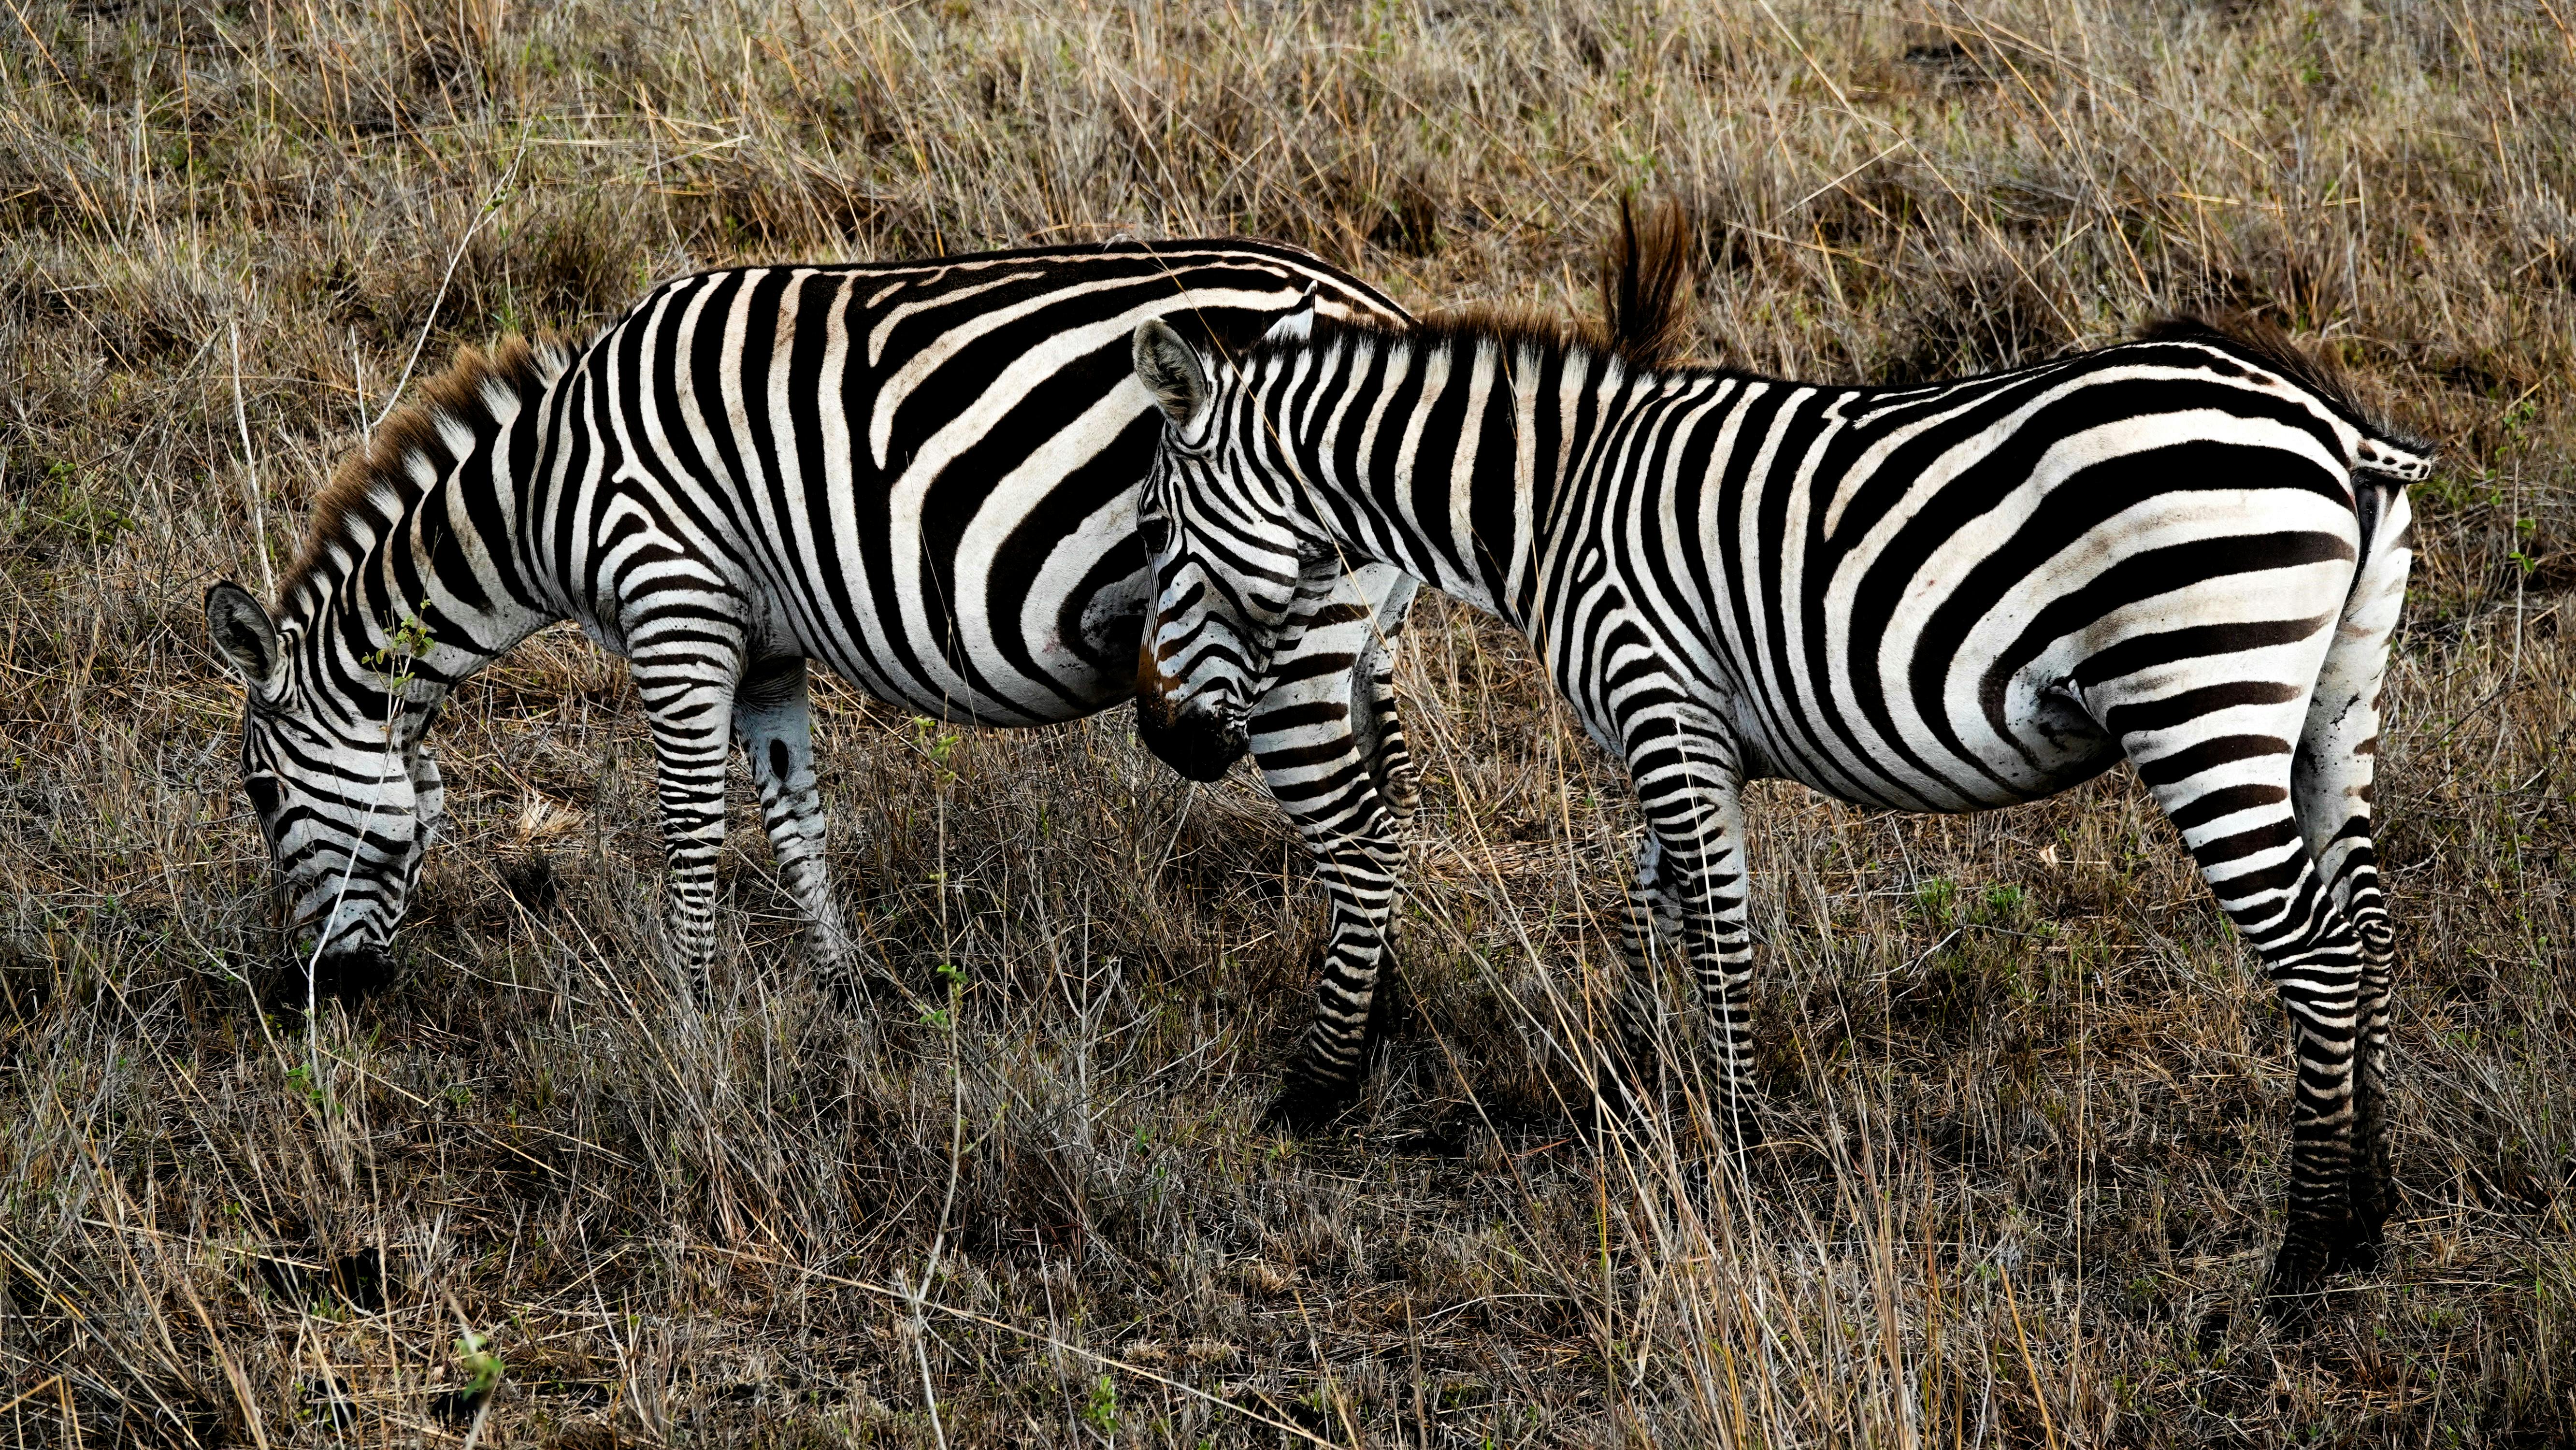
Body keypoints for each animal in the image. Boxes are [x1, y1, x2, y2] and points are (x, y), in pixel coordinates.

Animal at [201, 239, 1428, 1108]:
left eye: (261, 795)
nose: (320, 993)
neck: (549, 491)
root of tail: (1387, 314)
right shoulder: (766, 653)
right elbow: (797, 815)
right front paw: (844, 988)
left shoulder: (675, 605)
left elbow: (692, 821)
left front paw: (691, 1014)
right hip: (1353, 639)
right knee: (1390, 812)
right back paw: (1375, 1018)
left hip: (1284, 638)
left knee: (1360, 836)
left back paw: (1324, 1079)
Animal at [1124, 254, 2433, 1304]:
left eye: (1153, 535)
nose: (1165, 738)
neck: (1550, 501)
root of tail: (2330, 424)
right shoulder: (1672, 726)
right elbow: (1653, 909)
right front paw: (1634, 1108)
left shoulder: (1662, 702)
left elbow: (1716, 926)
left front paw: (1736, 1153)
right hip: (2334, 698)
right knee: (2368, 926)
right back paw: (2368, 1216)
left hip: (2199, 693)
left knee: (2315, 950)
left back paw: (2302, 1253)